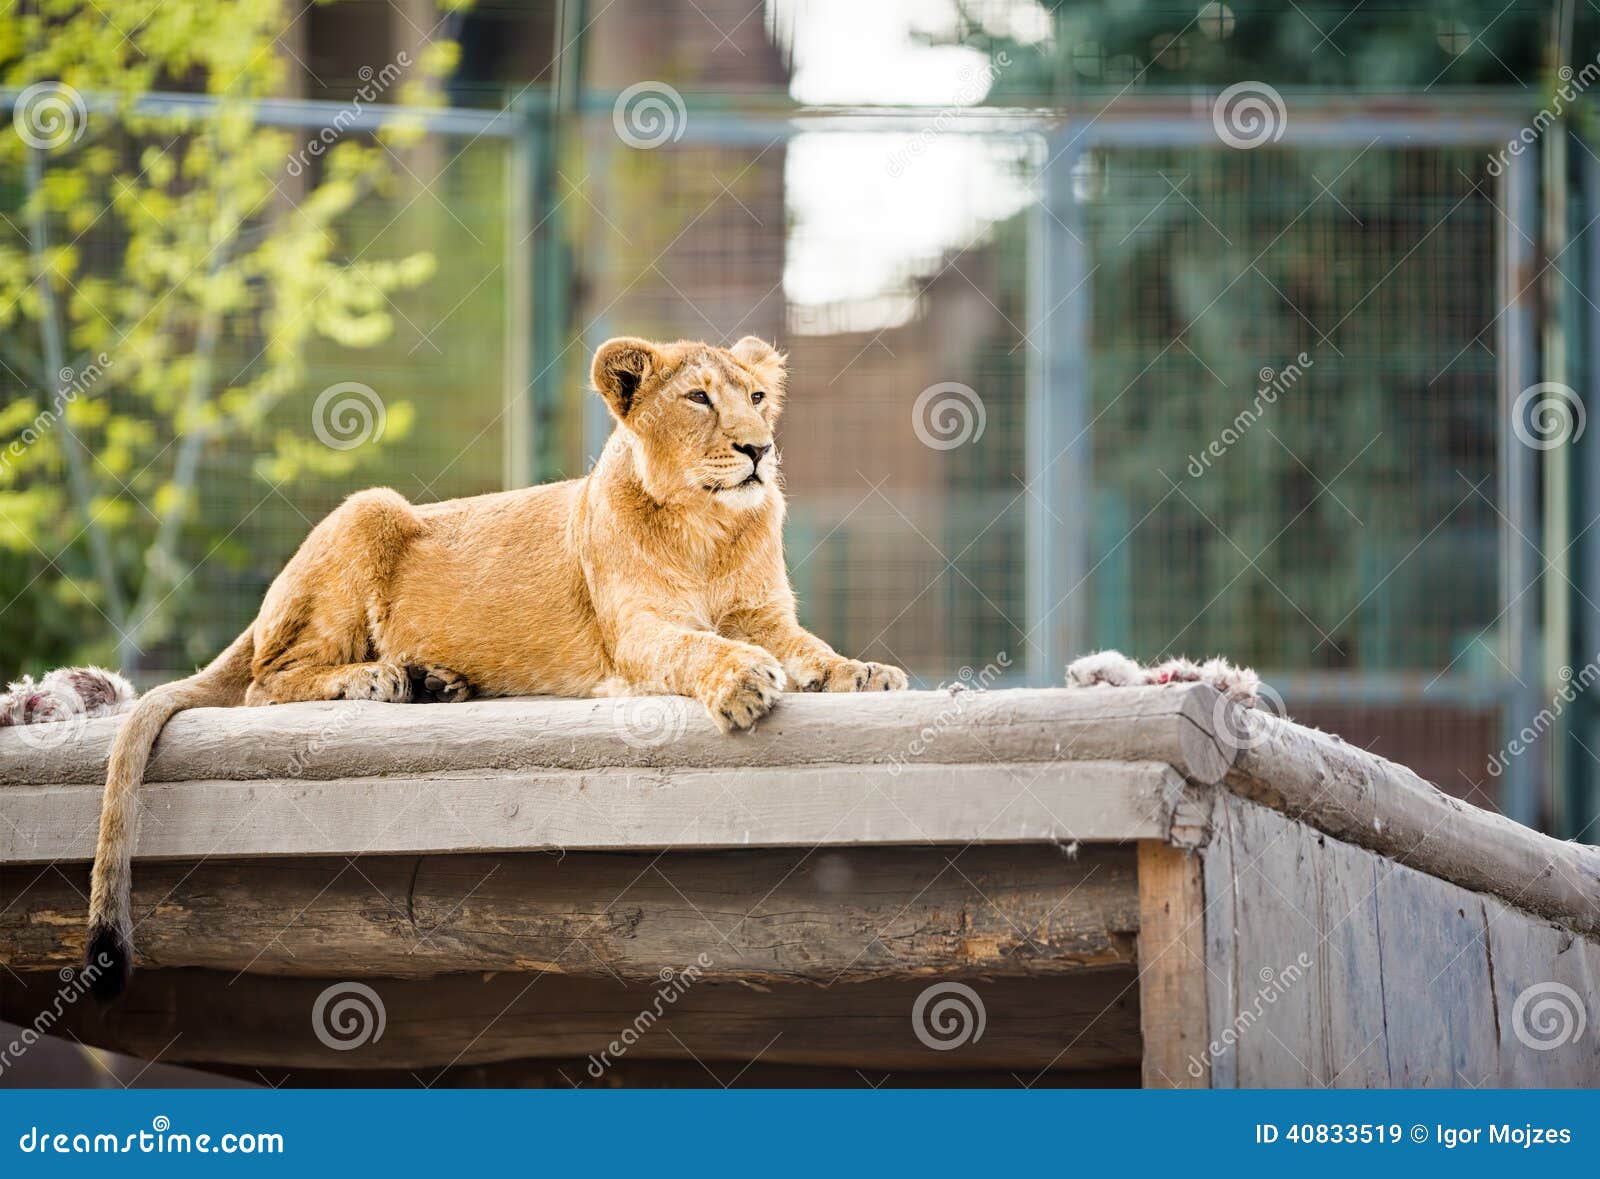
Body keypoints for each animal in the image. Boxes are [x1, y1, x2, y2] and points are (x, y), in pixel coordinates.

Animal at [77, 334, 907, 999]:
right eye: (700, 398)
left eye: (759, 398)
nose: (759, 449)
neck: (709, 526)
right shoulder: (637, 633)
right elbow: (698, 647)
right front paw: (741, 683)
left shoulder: (768, 617)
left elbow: (815, 650)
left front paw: (867, 673)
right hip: (369, 510)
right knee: (263, 682)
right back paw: (382, 679)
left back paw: (436, 681)